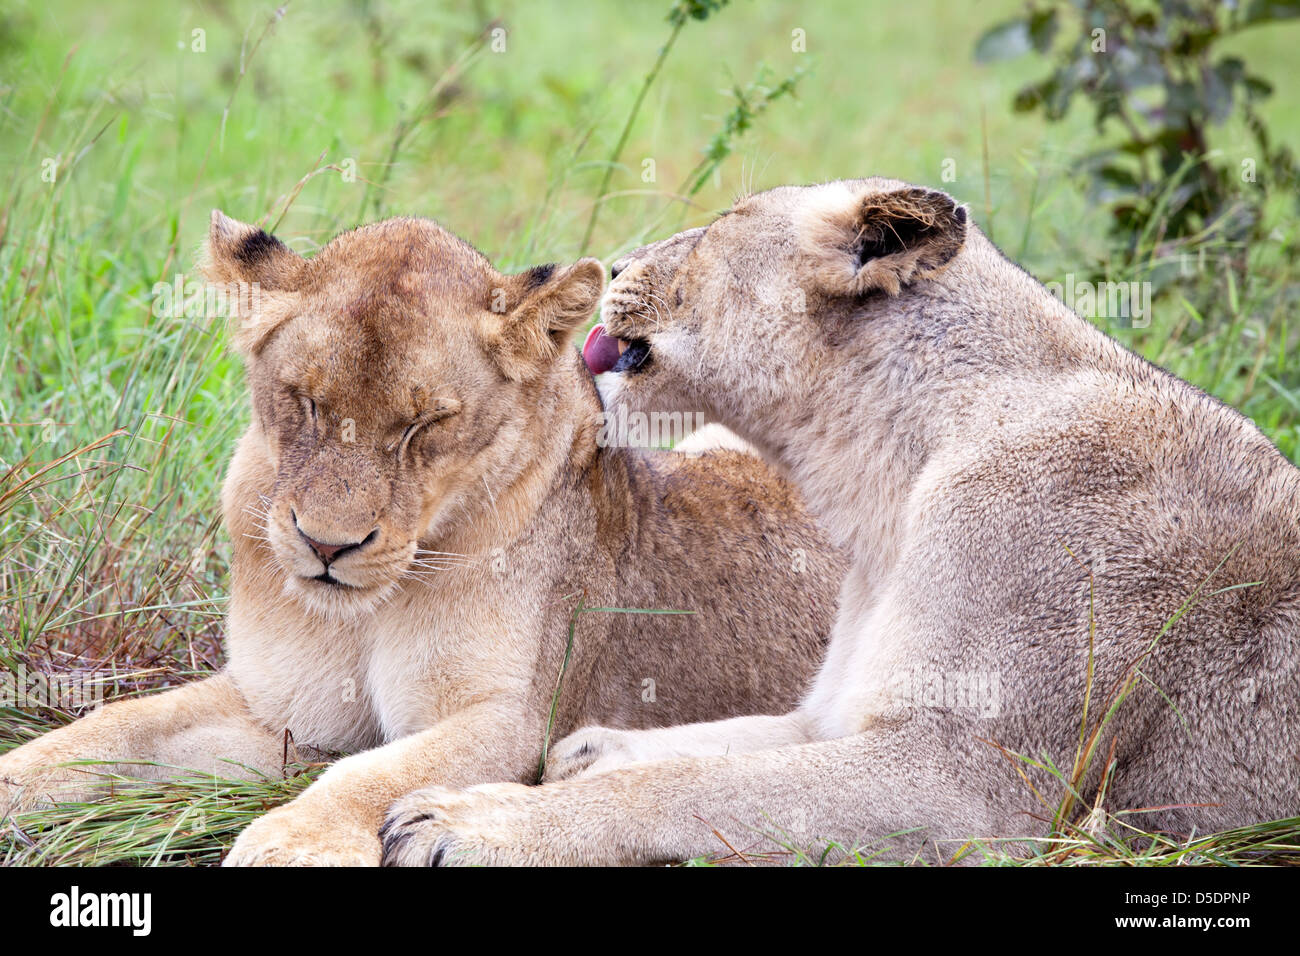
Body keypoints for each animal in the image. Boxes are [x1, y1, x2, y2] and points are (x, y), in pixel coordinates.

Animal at [0, 210, 845, 866]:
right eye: (305, 402)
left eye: (426, 424)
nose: (327, 546)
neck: (370, 607)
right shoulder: (281, 709)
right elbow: (118, 726)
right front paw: (15, 782)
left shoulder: (510, 721)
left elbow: (371, 773)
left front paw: (292, 843)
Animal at [378, 177, 1300, 867]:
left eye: (719, 228)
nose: (619, 264)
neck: (888, 475)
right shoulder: (830, 713)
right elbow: (716, 747)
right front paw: (584, 753)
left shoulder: (965, 788)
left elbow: (694, 789)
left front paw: (469, 822)